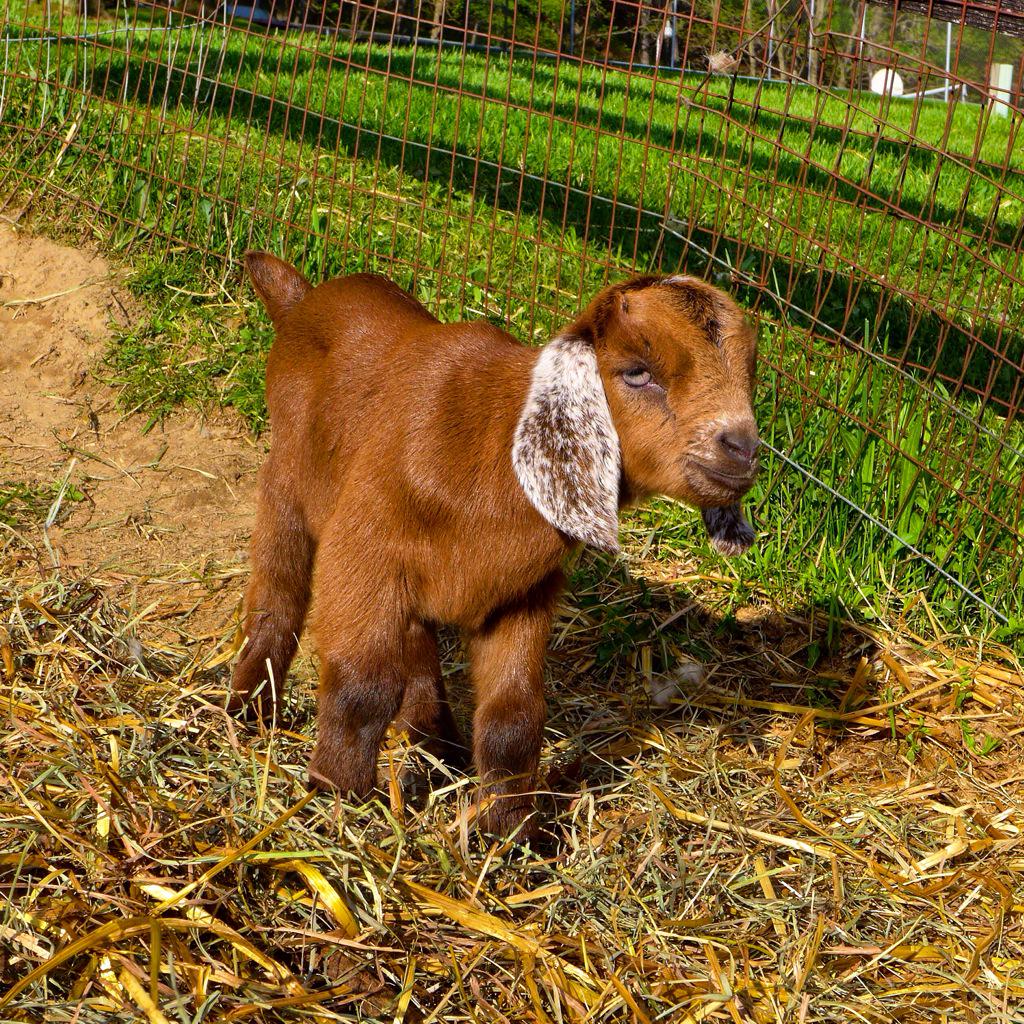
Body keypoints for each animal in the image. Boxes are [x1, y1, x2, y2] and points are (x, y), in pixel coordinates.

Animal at [232, 254, 760, 836]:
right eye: (637, 372)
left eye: (750, 371)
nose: (743, 449)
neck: (491, 449)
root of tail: (302, 300)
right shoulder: (364, 549)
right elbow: (361, 687)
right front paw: (338, 796)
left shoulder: (519, 595)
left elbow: (514, 716)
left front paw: (507, 828)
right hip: (288, 482)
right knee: (277, 591)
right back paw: (250, 707)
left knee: (417, 647)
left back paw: (440, 745)